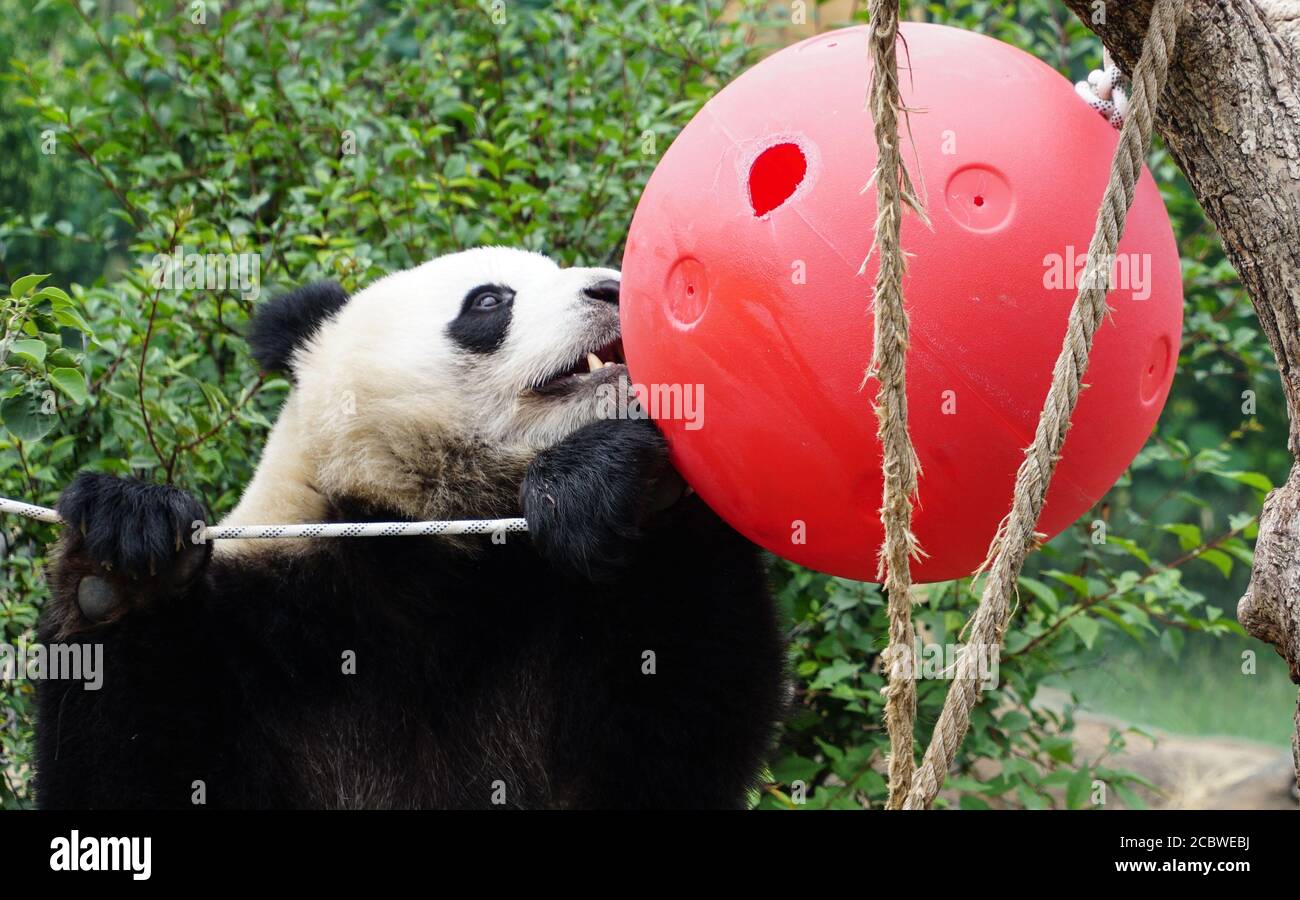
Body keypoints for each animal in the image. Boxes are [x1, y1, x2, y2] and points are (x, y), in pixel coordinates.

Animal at [34, 247, 788, 809]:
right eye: (489, 300)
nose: (612, 288)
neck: (438, 539)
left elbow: (668, 743)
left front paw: (623, 482)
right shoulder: (280, 625)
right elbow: (131, 782)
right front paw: (124, 558)